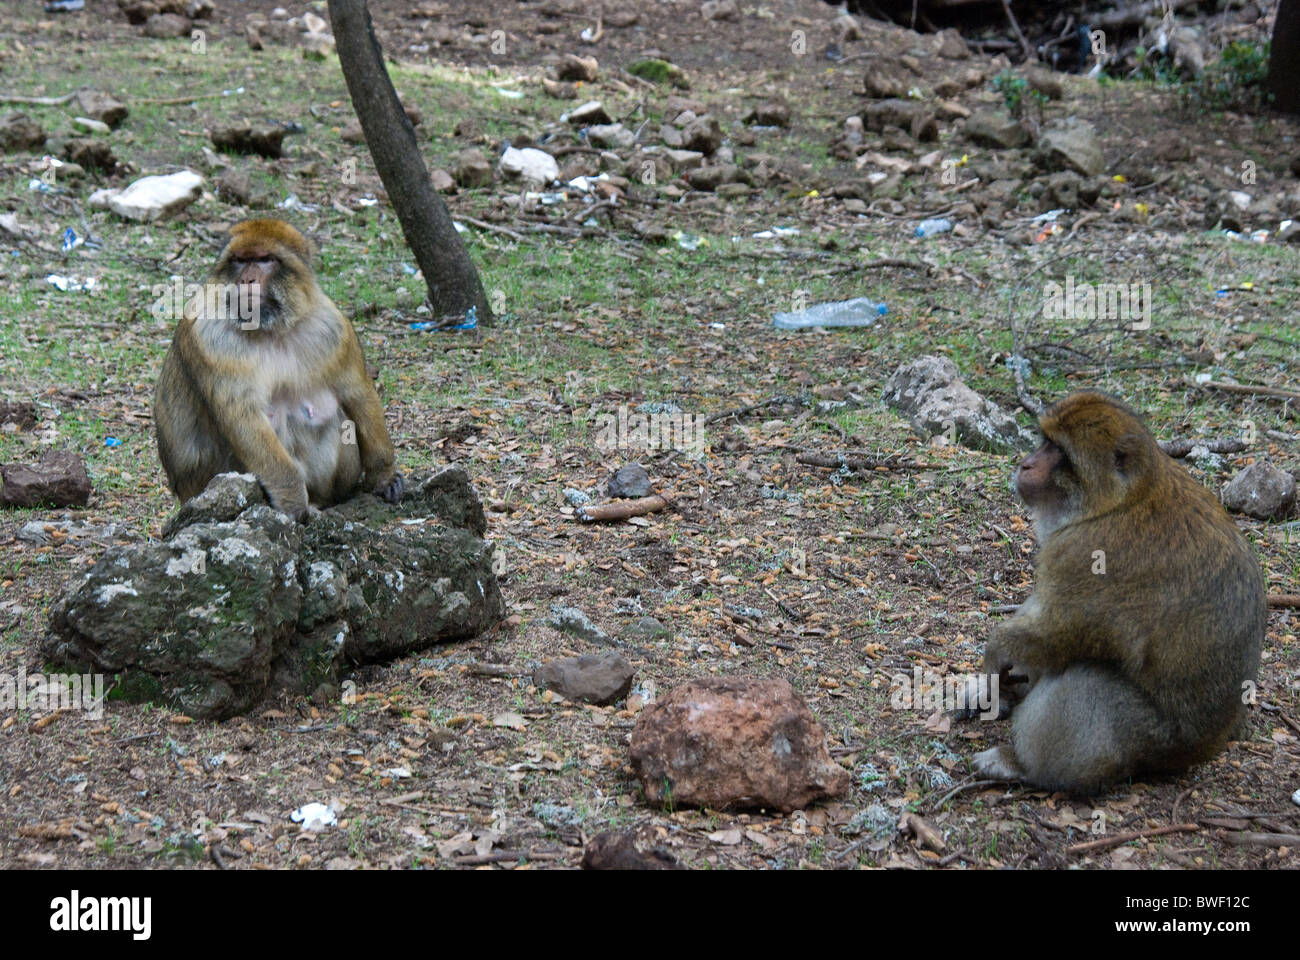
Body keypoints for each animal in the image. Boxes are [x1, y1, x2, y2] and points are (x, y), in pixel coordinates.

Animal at [154, 219, 403, 520]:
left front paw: (384, 476)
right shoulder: (209, 339)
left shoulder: (333, 328)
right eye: (239, 260)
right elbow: (244, 419)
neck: (271, 328)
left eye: (265, 259)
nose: (247, 280)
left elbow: (357, 394)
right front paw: (292, 499)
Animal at [962, 391, 1264, 793]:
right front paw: (990, 687)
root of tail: (1208, 745)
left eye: (1058, 451)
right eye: (1044, 442)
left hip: (1153, 738)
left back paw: (1024, 766)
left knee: (1088, 681)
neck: (1122, 501)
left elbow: (1056, 634)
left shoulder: (1086, 553)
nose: (1026, 465)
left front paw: (996, 655)